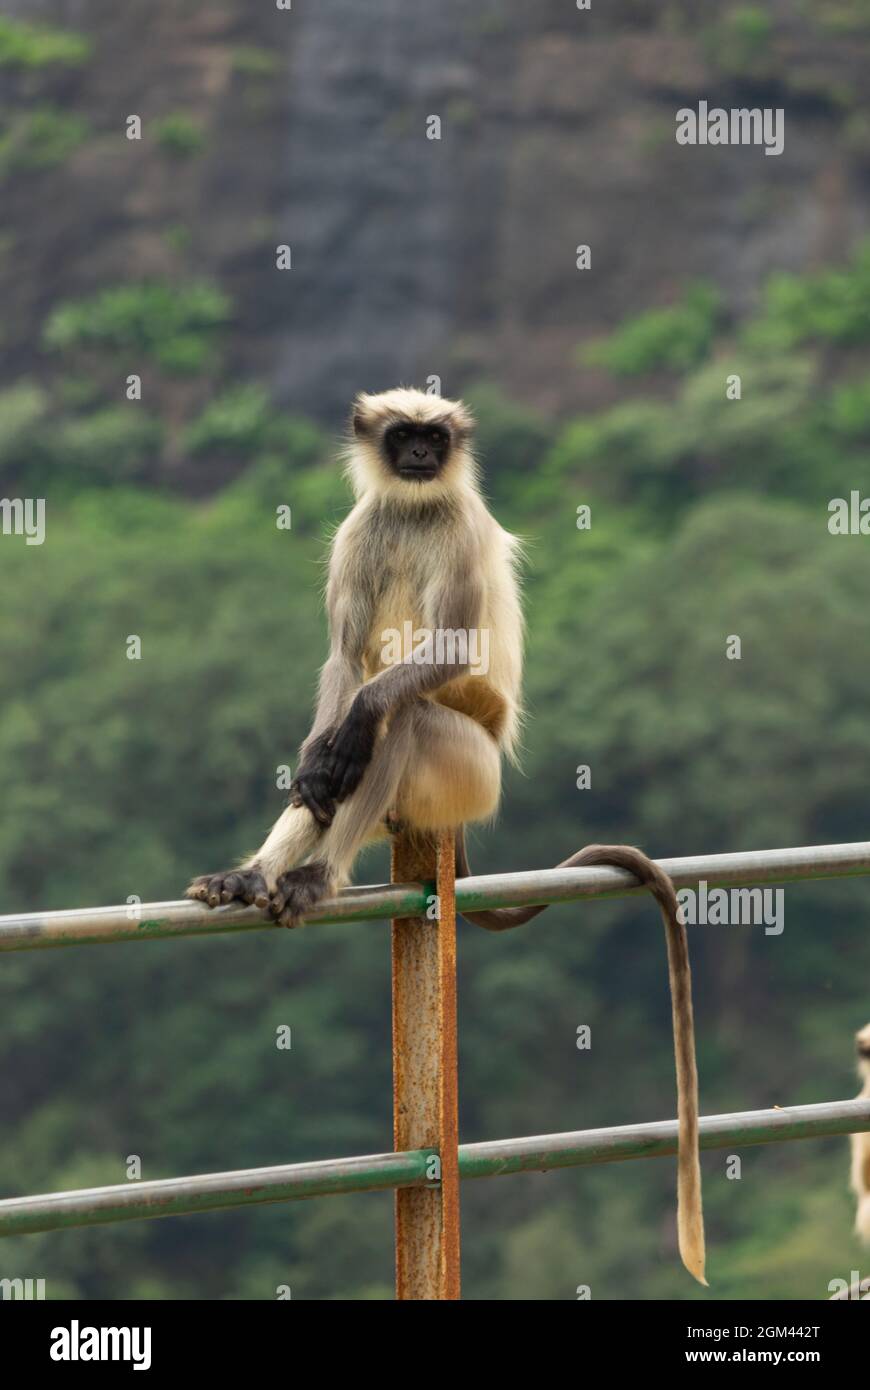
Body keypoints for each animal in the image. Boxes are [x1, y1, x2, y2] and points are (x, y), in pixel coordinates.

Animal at [186, 386, 706, 1284]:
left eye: (434, 438)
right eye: (405, 438)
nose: (424, 459)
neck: (415, 509)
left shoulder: (457, 526)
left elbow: (421, 671)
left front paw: (356, 733)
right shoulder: (362, 528)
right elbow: (339, 667)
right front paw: (305, 779)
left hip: (466, 770)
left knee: (402, 718)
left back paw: (319, 875)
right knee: (339, 753)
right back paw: (257, 872)